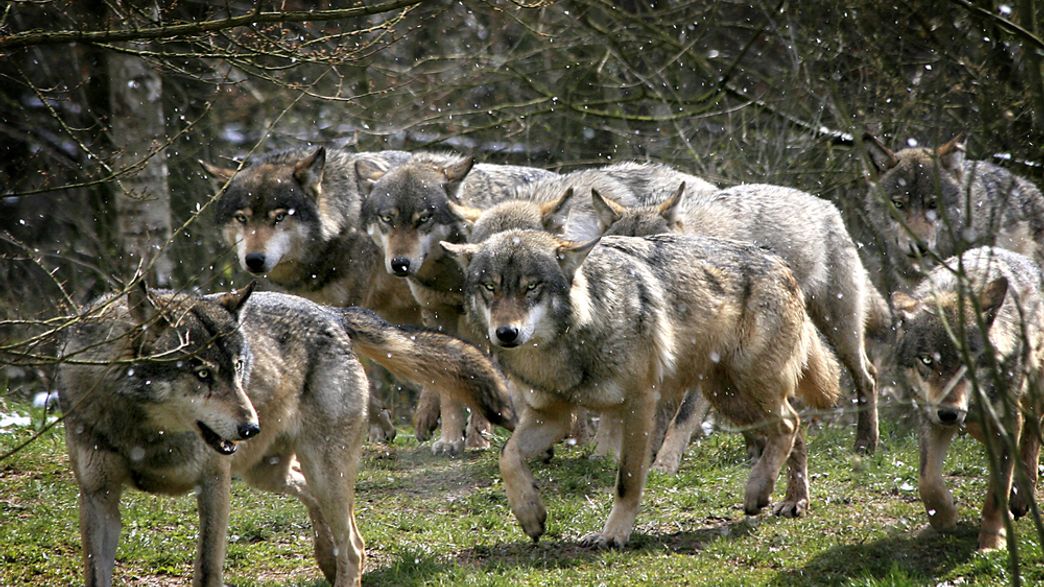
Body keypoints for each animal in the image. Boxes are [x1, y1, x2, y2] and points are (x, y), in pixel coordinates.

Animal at [58, 282, 514, 586]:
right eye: (202, 373)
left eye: (238, 368)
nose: (250, 426)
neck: (143, 429)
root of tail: (333, 313)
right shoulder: (97, 497)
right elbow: (96, 573)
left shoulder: (214, 484)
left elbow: (208, 568)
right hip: (267, 474)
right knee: (324, 510)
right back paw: (325, 556)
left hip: (317, 469)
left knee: (354, 544)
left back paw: (339, 563)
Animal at [354, 152, 555, 454]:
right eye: (387, 218)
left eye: (424, 218)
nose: (400, 264)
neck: (447, 273)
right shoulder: (438, 314)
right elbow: (448, 382)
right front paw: (449, 439)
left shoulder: (486, 324)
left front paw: (478, 438)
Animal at [442, 230, 841, 548]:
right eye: (490, 287)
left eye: (531, 287)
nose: (506, 333)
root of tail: (781, 262)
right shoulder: (553, 414)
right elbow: (507, 456)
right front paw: (530, 514)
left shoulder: (639, 405)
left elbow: (627, 480)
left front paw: (612, 535)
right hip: (731, 400)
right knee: (795, 431)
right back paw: (791, 500)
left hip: (746, 389)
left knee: (790, 424)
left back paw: (760, 490)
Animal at [594, 182, 887, 460]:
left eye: (656, 246)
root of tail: (825, 205)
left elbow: (682, 419)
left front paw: (664, 465)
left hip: (838, 332)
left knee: (868, 377)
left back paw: (866, 443)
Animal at [892, 247, 1044, 550]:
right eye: (927, 360)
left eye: (967, 361)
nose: (949, 413)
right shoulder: (930, 417)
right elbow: (927, 480)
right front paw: (943, 518)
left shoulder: (1005, 421)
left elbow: (997, 490)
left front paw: (992, 540)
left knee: (1032, 431)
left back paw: (1022, 494)